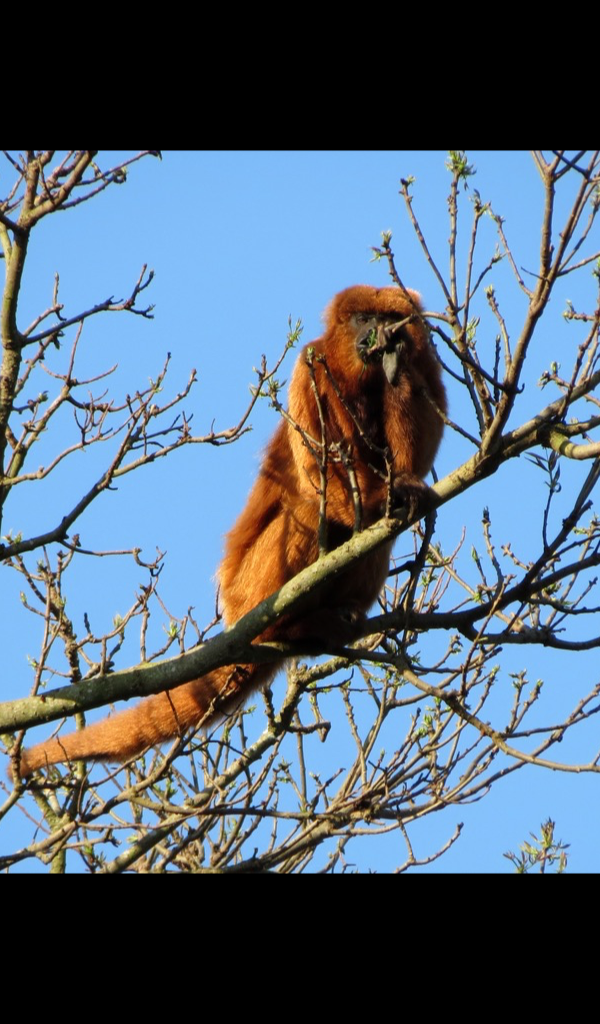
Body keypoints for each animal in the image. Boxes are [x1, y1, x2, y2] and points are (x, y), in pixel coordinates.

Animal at [15, 284, 446, 778]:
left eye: (387, 318)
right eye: (362, 319)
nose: (378, 336)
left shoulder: (427, 364)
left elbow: (423, 447)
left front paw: (398, 370)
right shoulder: (310, 365)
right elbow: (317, 469)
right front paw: (382, 496)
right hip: (251, 590)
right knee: (305, 508)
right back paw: (295, 623)